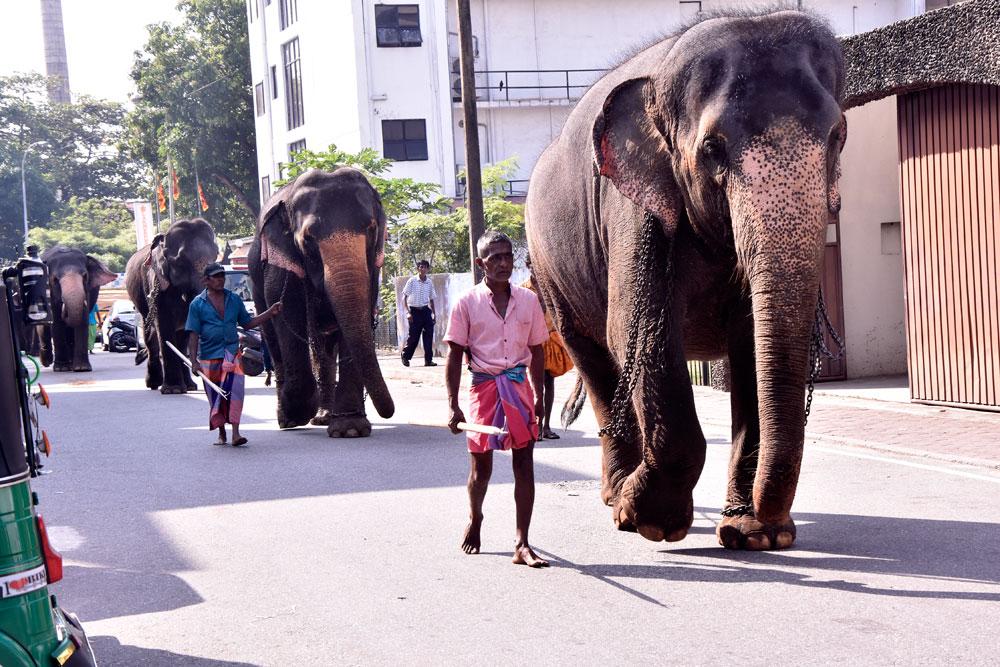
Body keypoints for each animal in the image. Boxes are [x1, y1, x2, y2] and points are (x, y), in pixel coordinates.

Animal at [125, 218, 219, 394]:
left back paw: (189, 386)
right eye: (180, 261)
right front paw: (173, 390)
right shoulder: (157, 284)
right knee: (150, 338)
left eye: (216, 255)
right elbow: (164, 327)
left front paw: (182, 387)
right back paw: (154, 383)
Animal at [248, 168, 395, 437]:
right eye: (308, 238)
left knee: (323, 342)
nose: (388, 412)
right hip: (255, 287)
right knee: (274, 337)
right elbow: (287, 311)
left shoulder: (372, 267)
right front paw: (298, 411)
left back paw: (324, 417)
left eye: (371, 229)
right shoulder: (280, 261)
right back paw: (289, 418)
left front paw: (350, 430)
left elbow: (359, 314)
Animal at [525, 10, 847, 551]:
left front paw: (750, 534)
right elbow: (636, 332)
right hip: (548, 272)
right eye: (713, 148)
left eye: (838, 136)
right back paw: (616, 496)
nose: (769, 519)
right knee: (592, 354)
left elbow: (752, 349)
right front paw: (651, 521)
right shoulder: (633, 209)